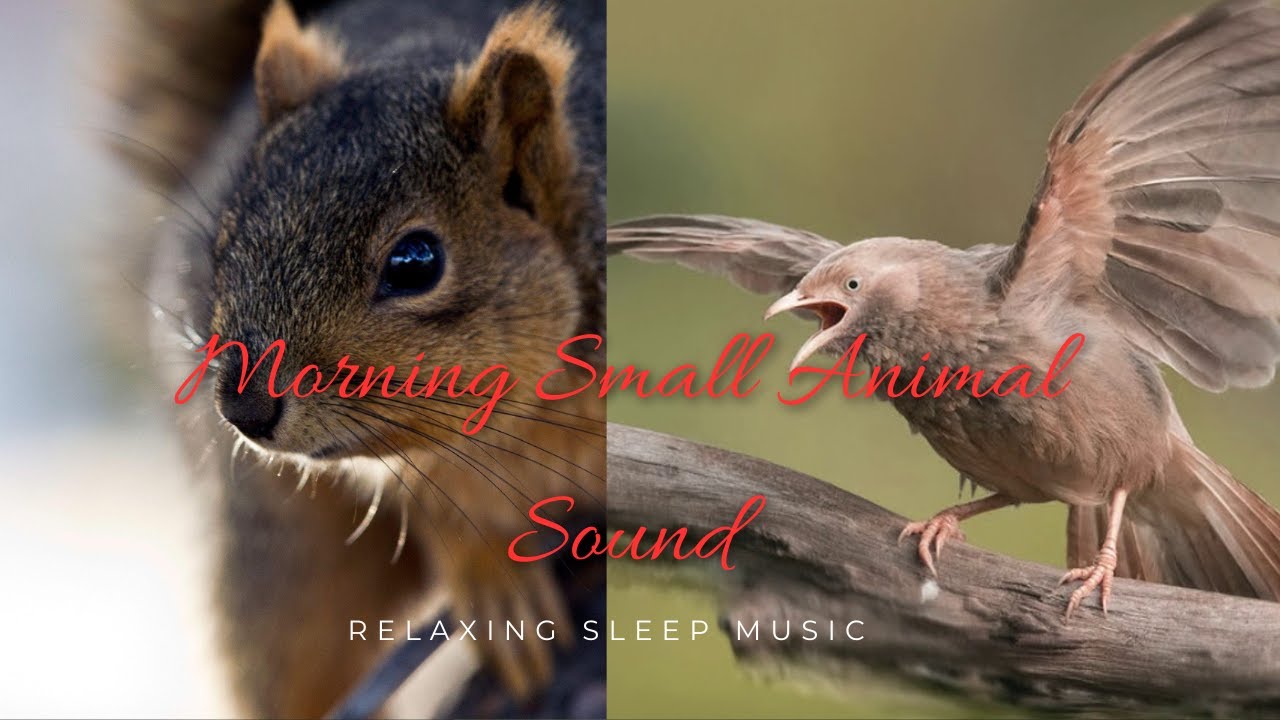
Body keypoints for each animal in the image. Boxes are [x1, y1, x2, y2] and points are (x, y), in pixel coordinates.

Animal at [106, 0, 605, 716]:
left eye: (416, 261)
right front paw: (493, 582)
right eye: (223, 242)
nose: (245, 409)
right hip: (287, 551)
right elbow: (435, 506)